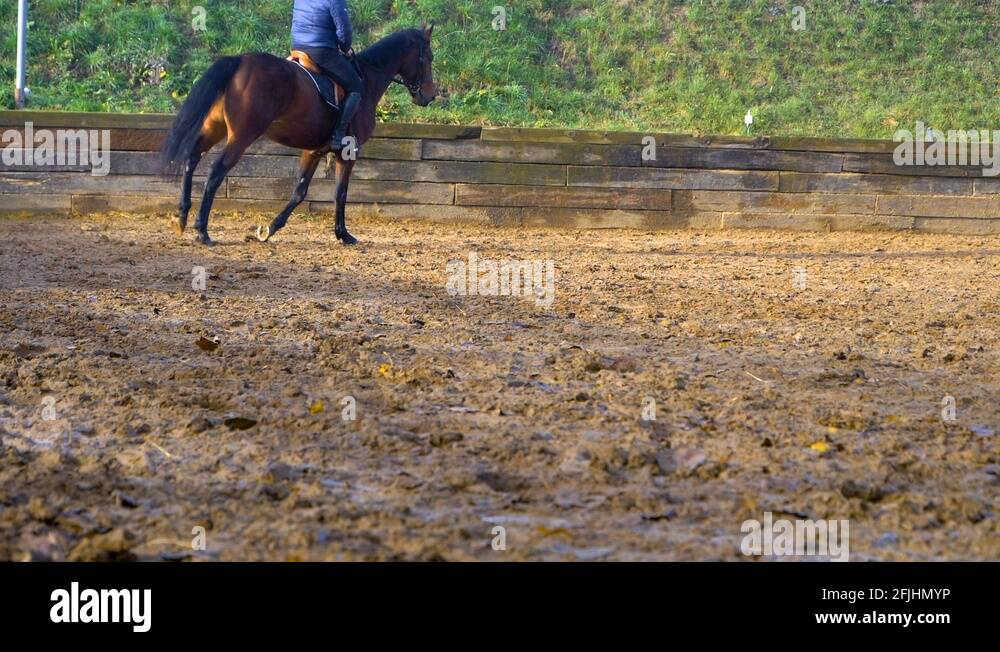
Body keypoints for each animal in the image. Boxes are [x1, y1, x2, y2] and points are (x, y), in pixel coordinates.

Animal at [160, 24, 438, 246]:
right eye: (430, 58)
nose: (430, 95)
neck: (366, 80)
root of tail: (240, 60)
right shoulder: (348, 153)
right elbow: (340, 193)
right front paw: (343, 234)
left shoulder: (313, 151)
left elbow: (299, 191)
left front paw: (269, 229)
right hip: (241, 136)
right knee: (215, 172)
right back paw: (202, 231)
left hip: (214, 127)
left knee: (192, 158)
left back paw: (182, 216)